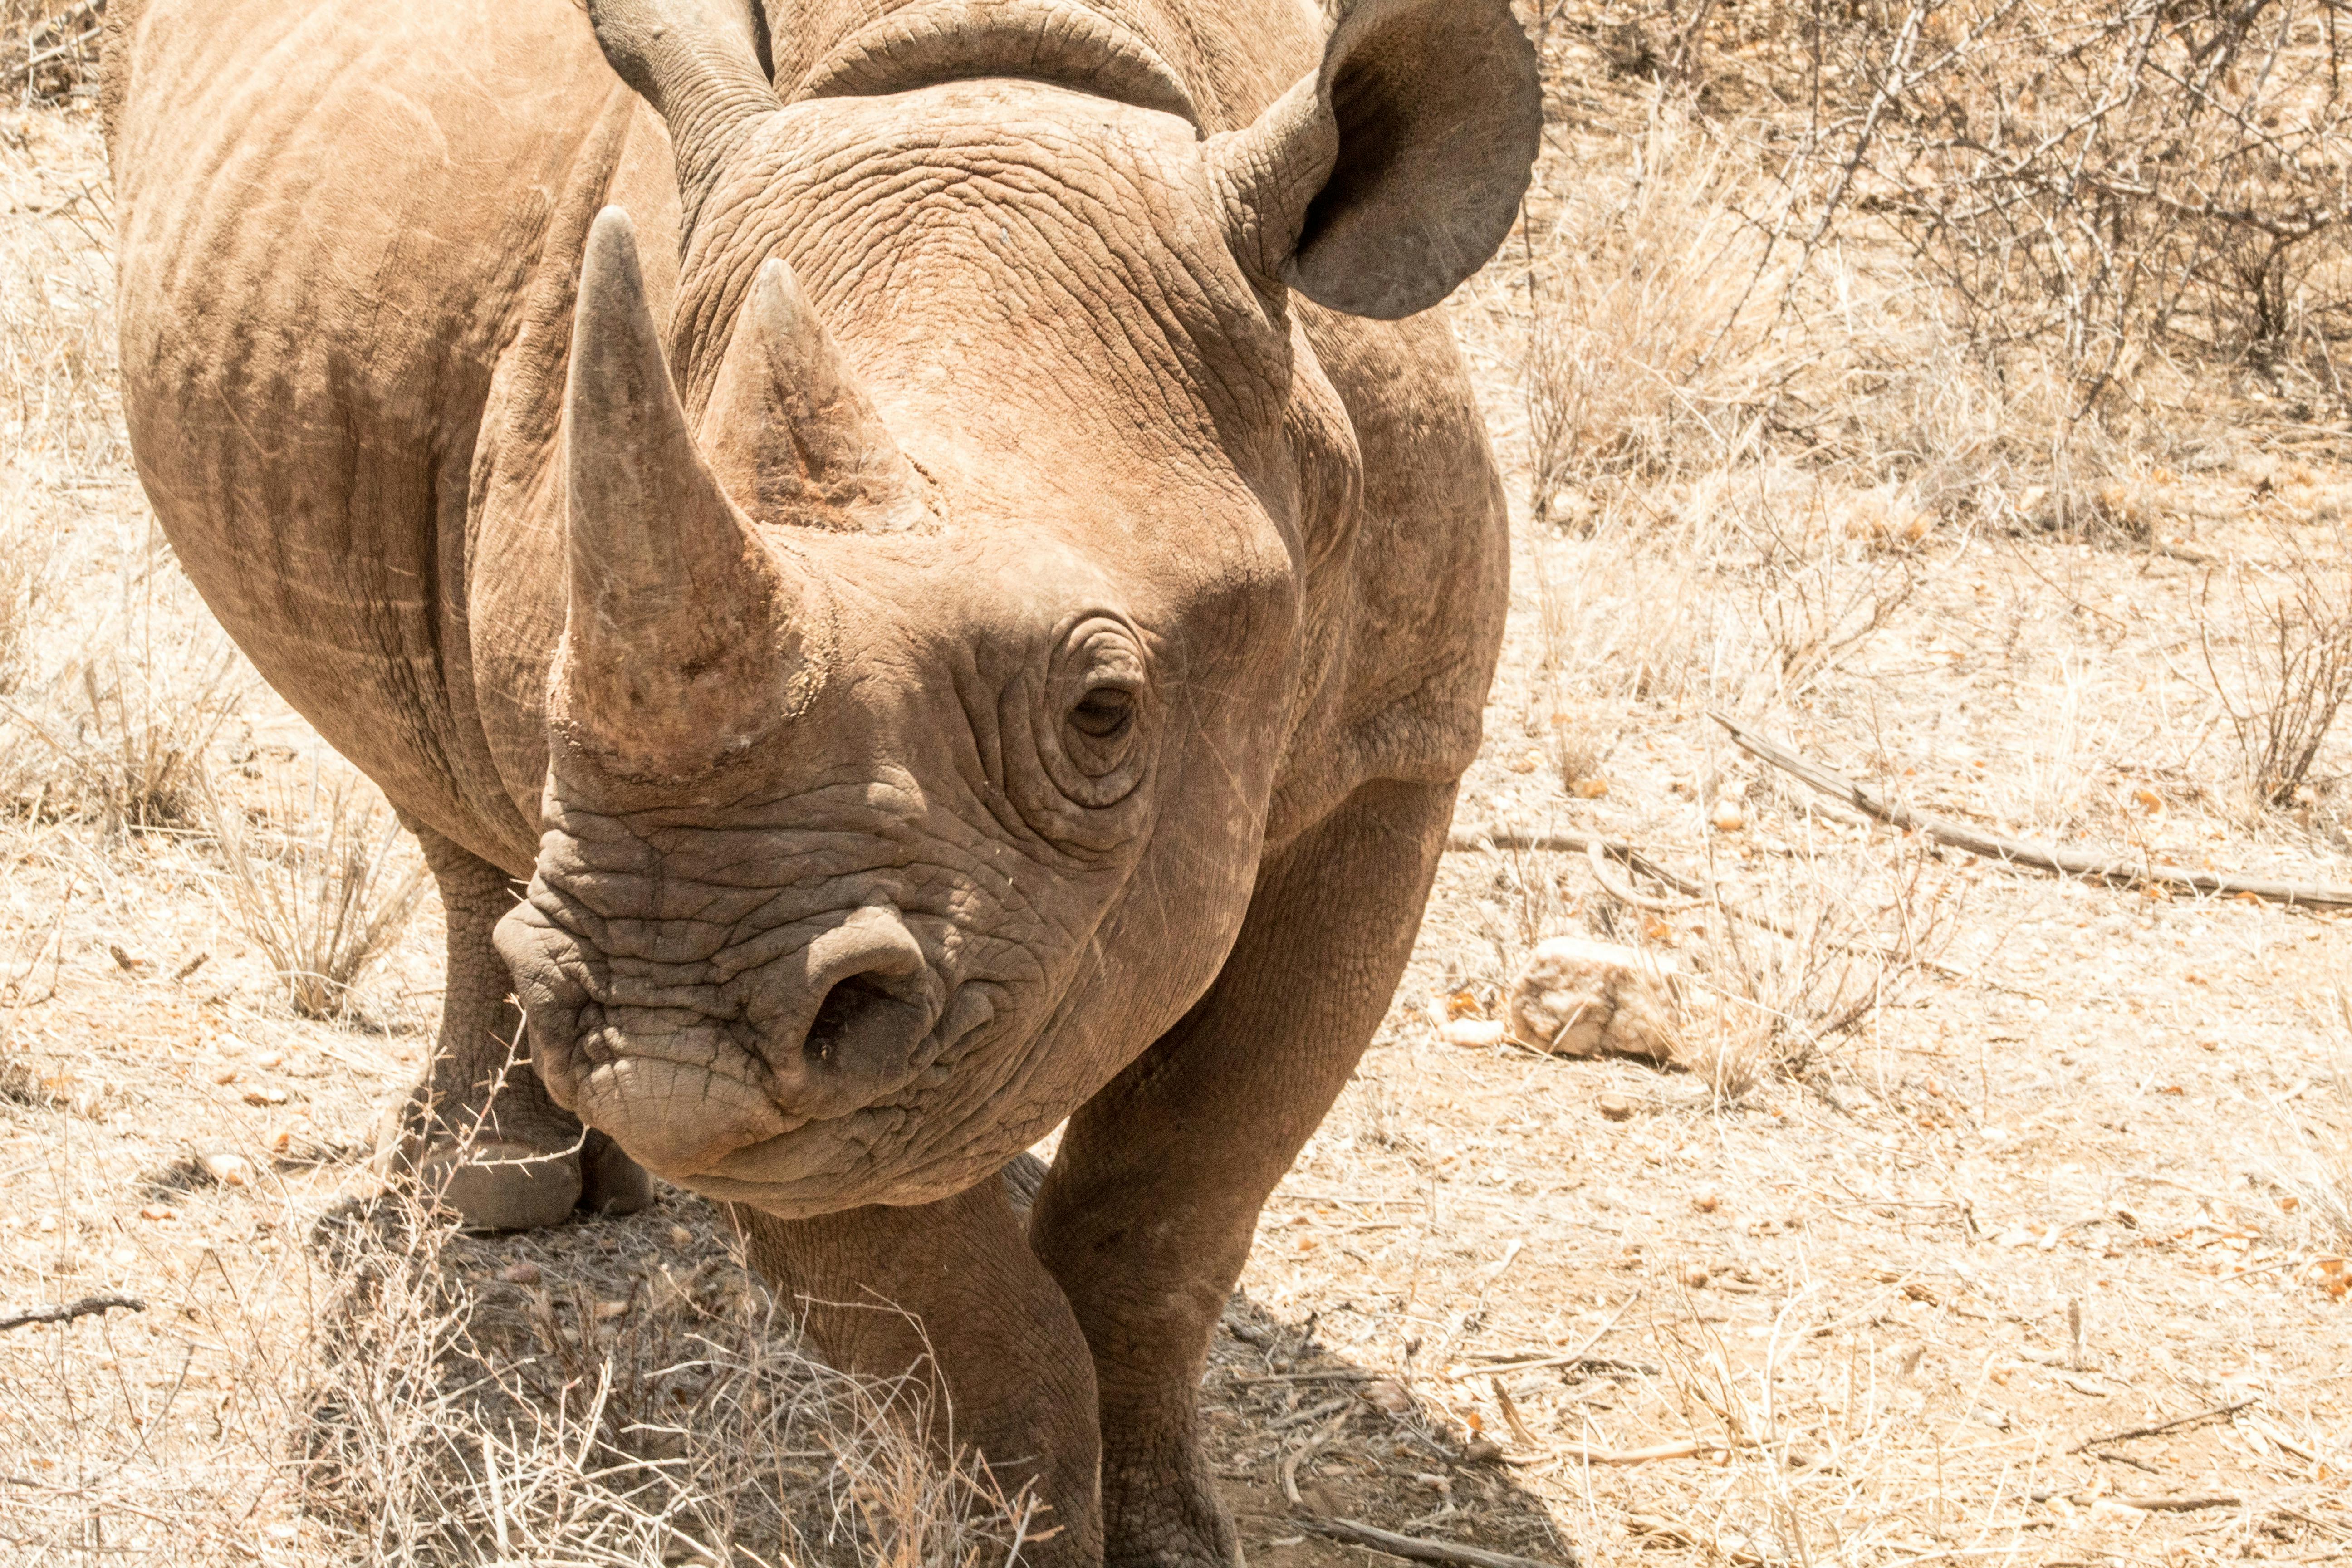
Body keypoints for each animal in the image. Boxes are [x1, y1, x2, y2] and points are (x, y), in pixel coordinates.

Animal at [104, 0, 1537, 1557]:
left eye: (1104, 713)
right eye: (557, 683)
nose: (669, 1034)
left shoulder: (1397, 754)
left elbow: (1171, 1208)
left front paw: (1163, 1532)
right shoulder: (759, 1010)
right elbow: (953, 1326)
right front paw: (1031, 1525)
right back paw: (498, 1186)